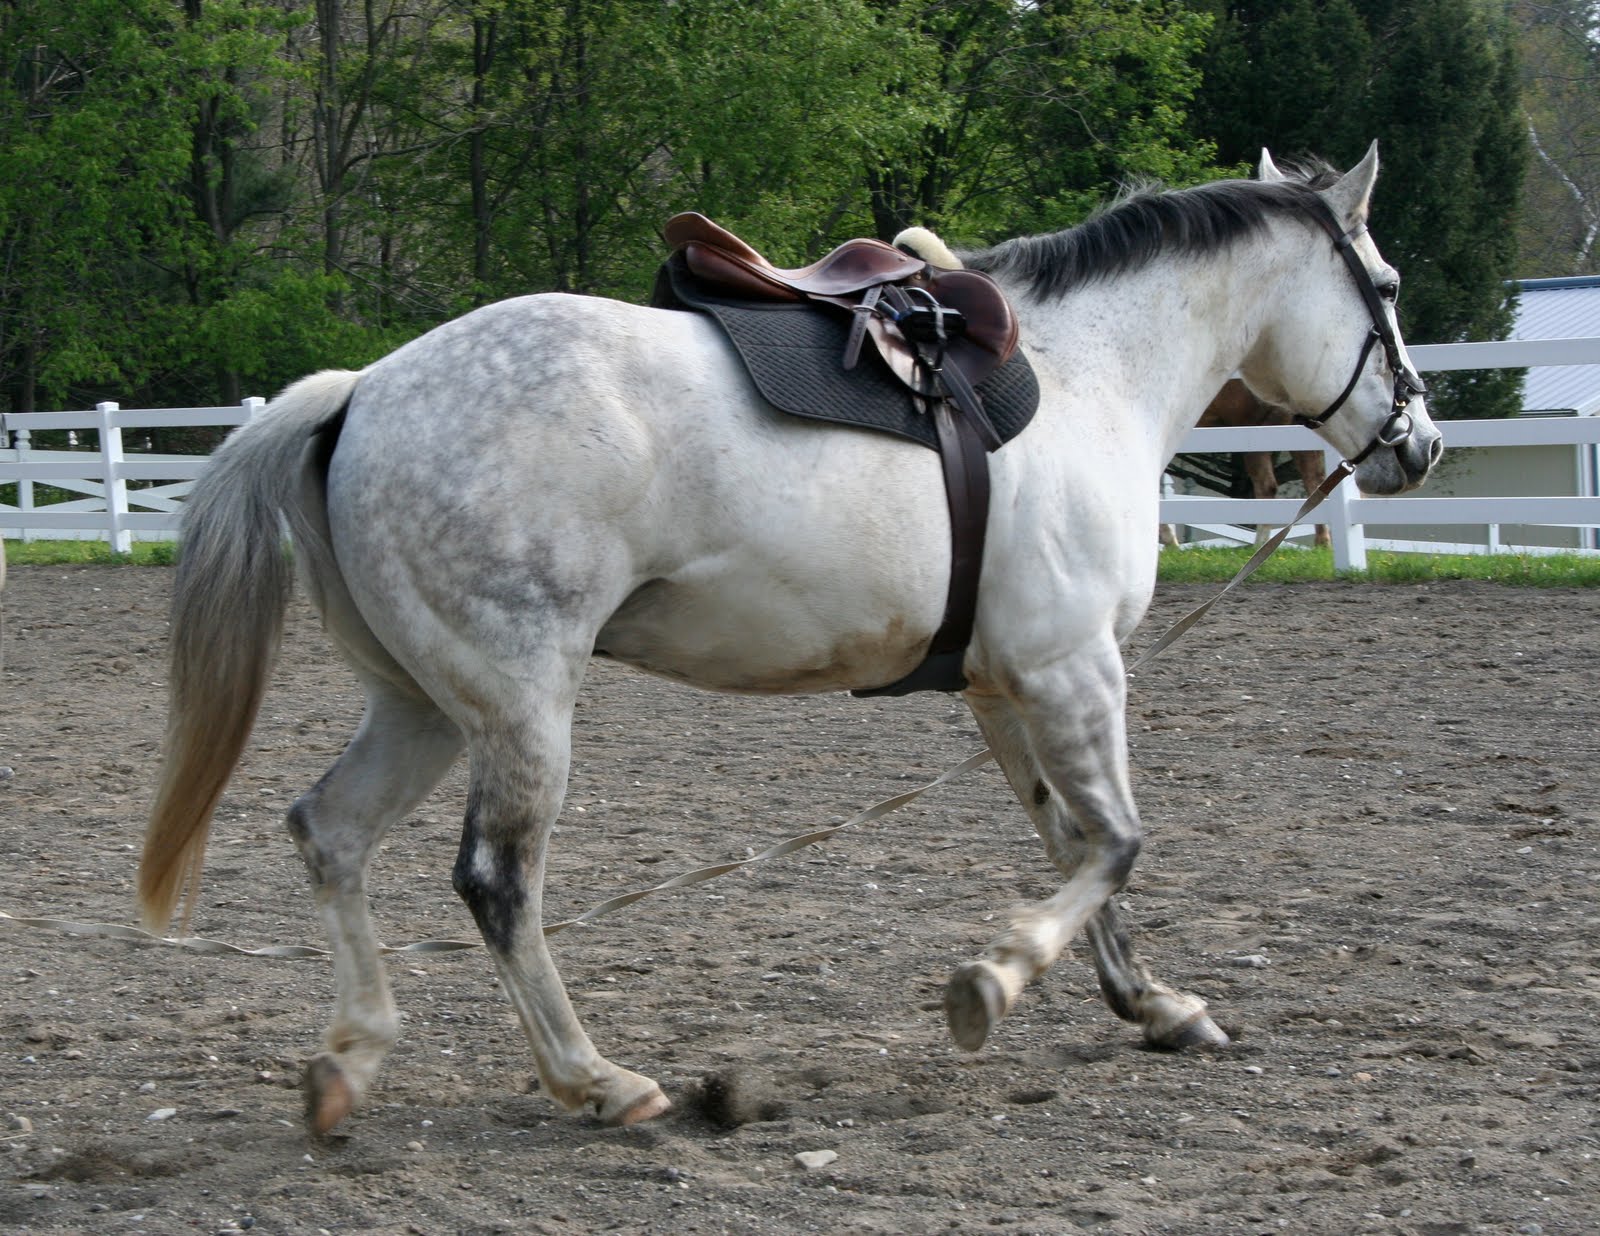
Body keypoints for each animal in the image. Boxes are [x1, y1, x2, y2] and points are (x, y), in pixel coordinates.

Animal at [139, 143, 1440, 1135]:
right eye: (1383, 282)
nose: (1417, 444)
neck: (1087, 379)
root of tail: (362, 392)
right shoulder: (1075, 668)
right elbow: (1116, 842)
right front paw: (989, 983)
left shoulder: (1004, 685)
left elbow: (1073, 841)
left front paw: (1153, 1006)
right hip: (518, 710)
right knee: (497, 882)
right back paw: (596, 1080)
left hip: (423, 706)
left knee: (330, 833)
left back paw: (352, 1058)